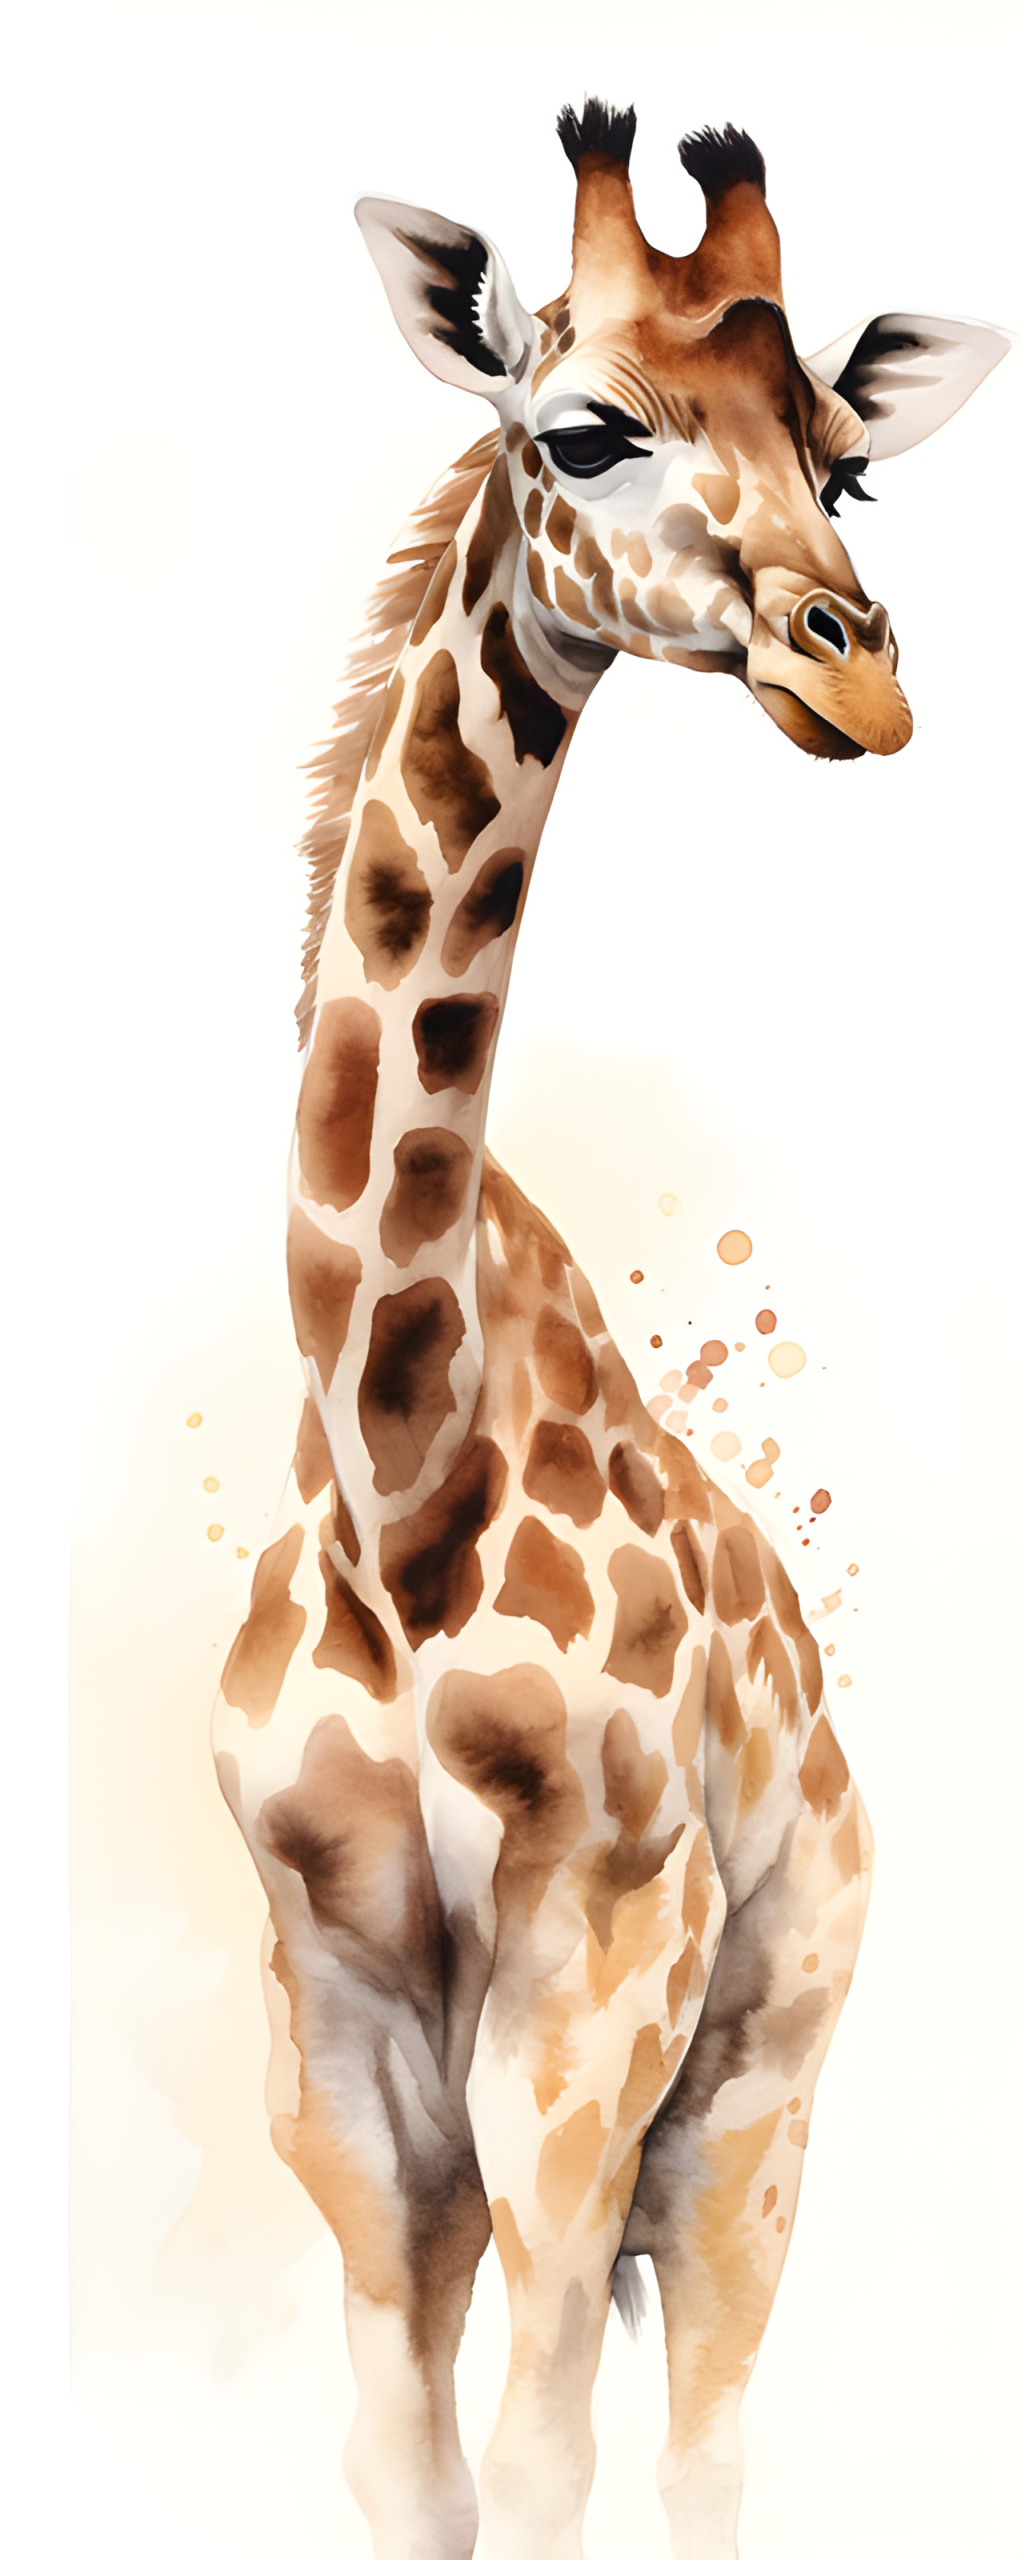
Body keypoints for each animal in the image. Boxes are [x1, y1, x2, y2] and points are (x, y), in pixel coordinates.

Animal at [212, 103, 1007, 2560]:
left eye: (843, 466)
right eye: (583, 426)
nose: (863, 675)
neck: (396, 1464)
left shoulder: (592, 2001)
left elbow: (549, 2459)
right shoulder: (342, 2041)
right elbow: (406, 2463)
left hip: (752, 2111)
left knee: (712, 2436)